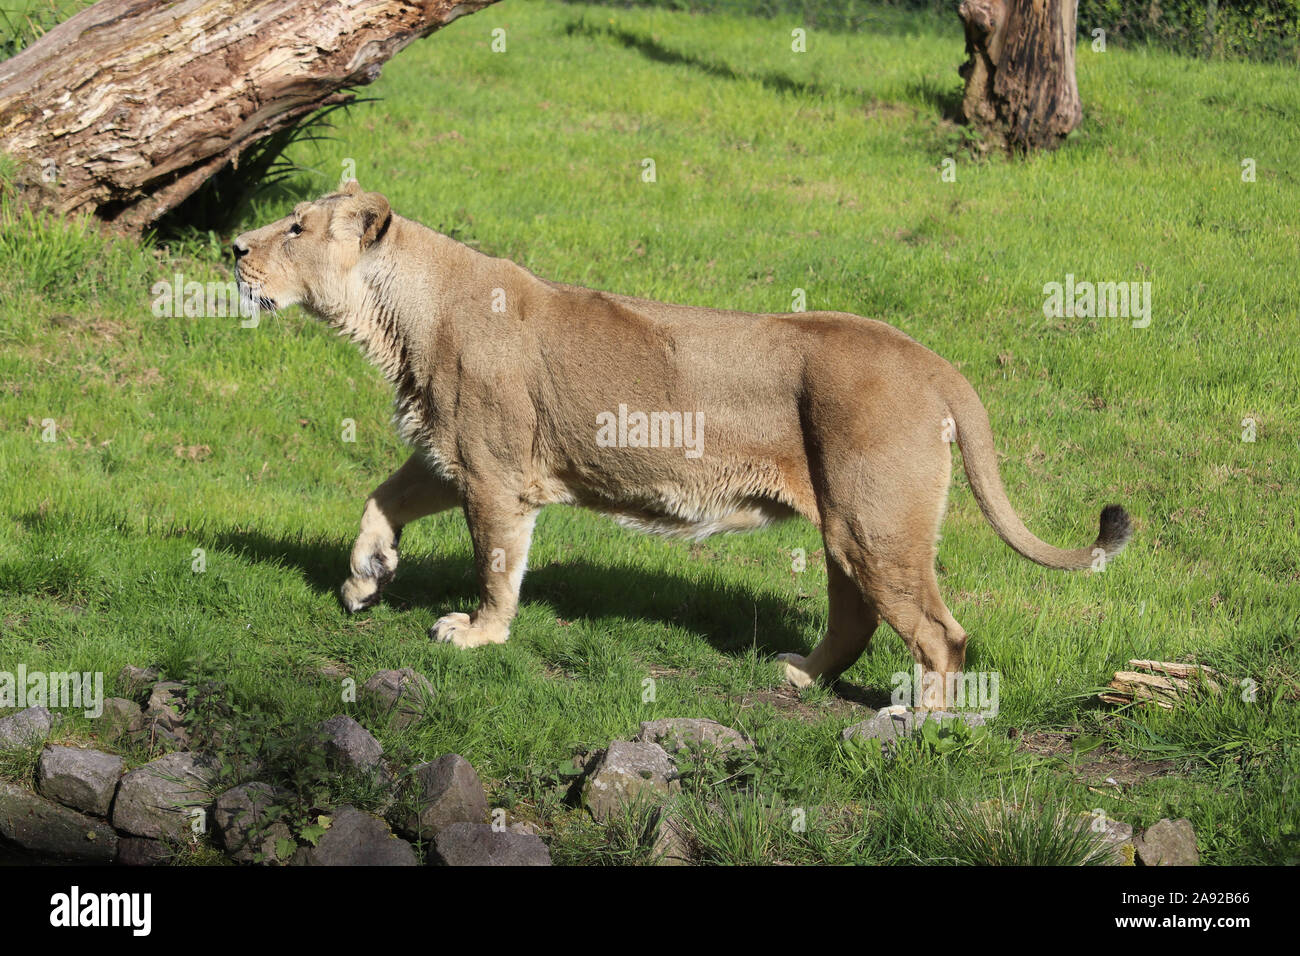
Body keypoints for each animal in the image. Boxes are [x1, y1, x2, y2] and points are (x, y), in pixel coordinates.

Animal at [233, 182, 1132, 706]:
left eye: (294, 227)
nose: (233, 248)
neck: (396, 318)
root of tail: (933, 360)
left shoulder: (495, 476)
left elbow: (495, 567)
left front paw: (477, 635)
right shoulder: (448, 456)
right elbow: (378, 500)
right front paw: (365, 578)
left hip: (878, 523)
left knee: (939, 635)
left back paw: (919, 727)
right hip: (849, 525)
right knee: (857, 619)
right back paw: (800, 677)